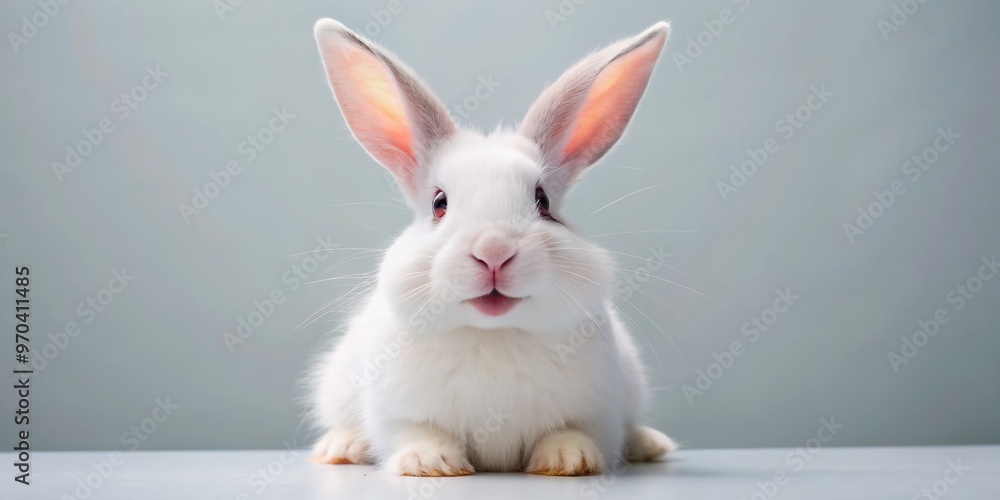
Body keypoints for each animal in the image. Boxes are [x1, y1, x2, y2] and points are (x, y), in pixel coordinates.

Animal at [306, 18, 676, 476]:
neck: (493, 333)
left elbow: (573, 431)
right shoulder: (395, 415)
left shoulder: (598, 413)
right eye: (439, 204)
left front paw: (569, 460)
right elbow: (415, 433)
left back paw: (651, 444)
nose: (494, 250)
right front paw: (430, 463)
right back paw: (342, 447)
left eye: (543, 200)